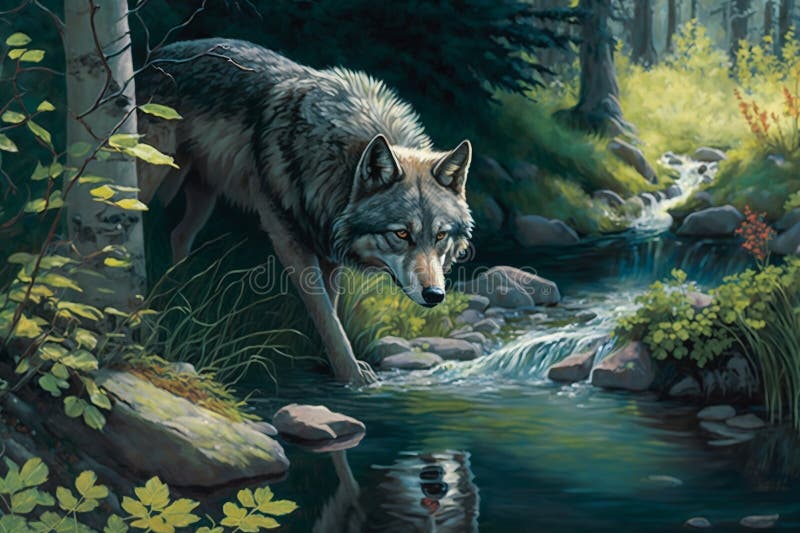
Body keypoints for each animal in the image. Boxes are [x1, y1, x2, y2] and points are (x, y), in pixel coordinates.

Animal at [136, 39, 473, 385]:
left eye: (441, 236)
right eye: (402, 234)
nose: (435, 294)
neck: (331, 164)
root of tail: (156, 56)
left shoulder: (327, 247)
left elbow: (333, 309)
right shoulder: (290, 240)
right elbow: (325, 314)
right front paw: (352, 376)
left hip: (205, 195)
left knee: (179, 234)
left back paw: (178, 292)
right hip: (152, 173)